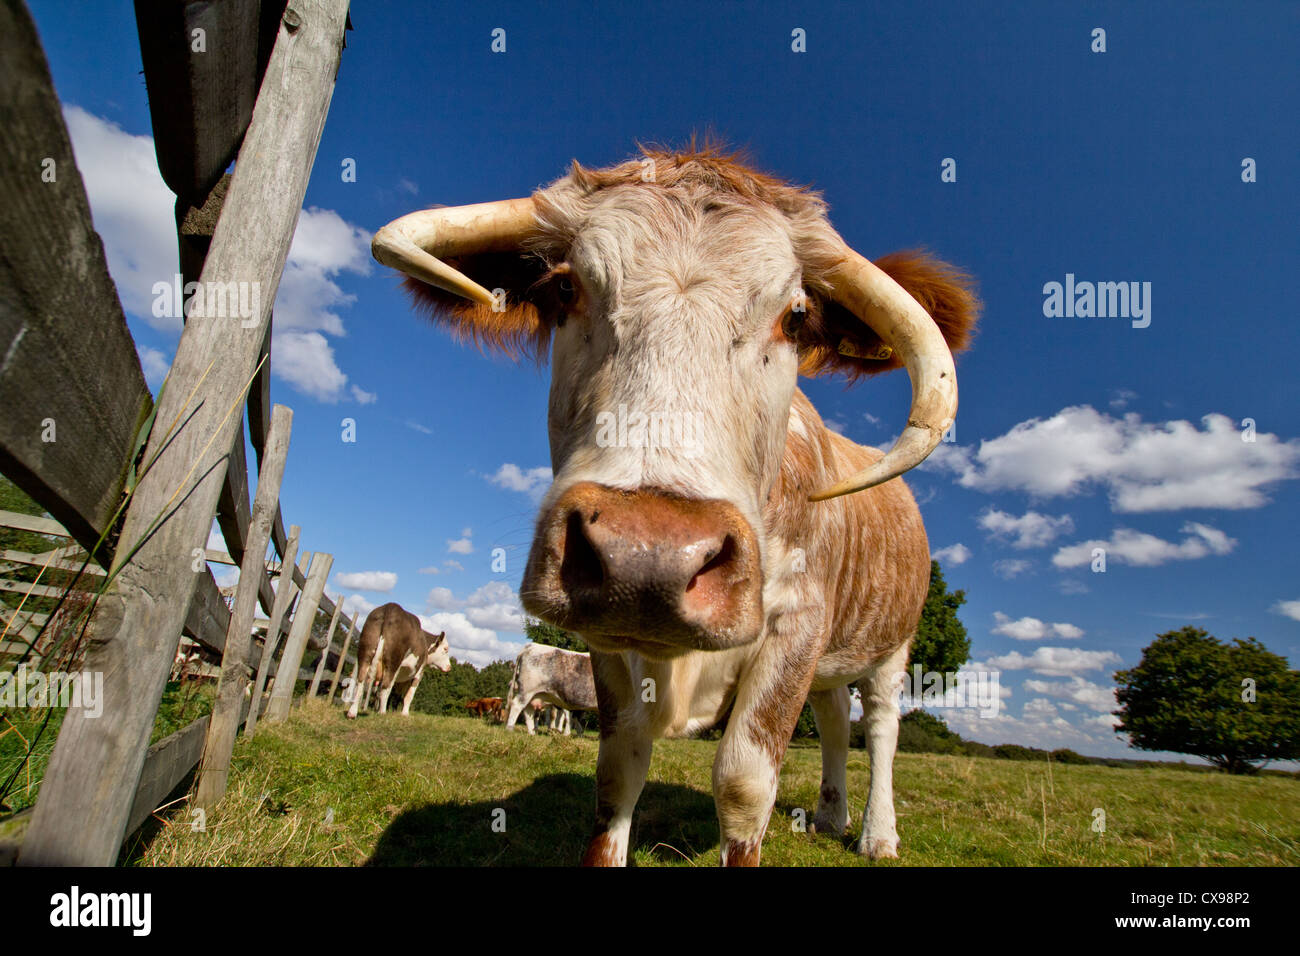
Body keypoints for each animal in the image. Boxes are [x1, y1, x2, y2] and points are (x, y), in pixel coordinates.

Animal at [373, 144, 978, 865]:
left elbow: (745, 784)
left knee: (881, 726)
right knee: (834, 720)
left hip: (892, 645)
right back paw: (830, 816)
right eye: (563, 289)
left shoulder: (798, 624)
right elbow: (618, 771)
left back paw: (876, 834)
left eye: (796, 318)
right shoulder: (609, 639)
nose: (647, 558)